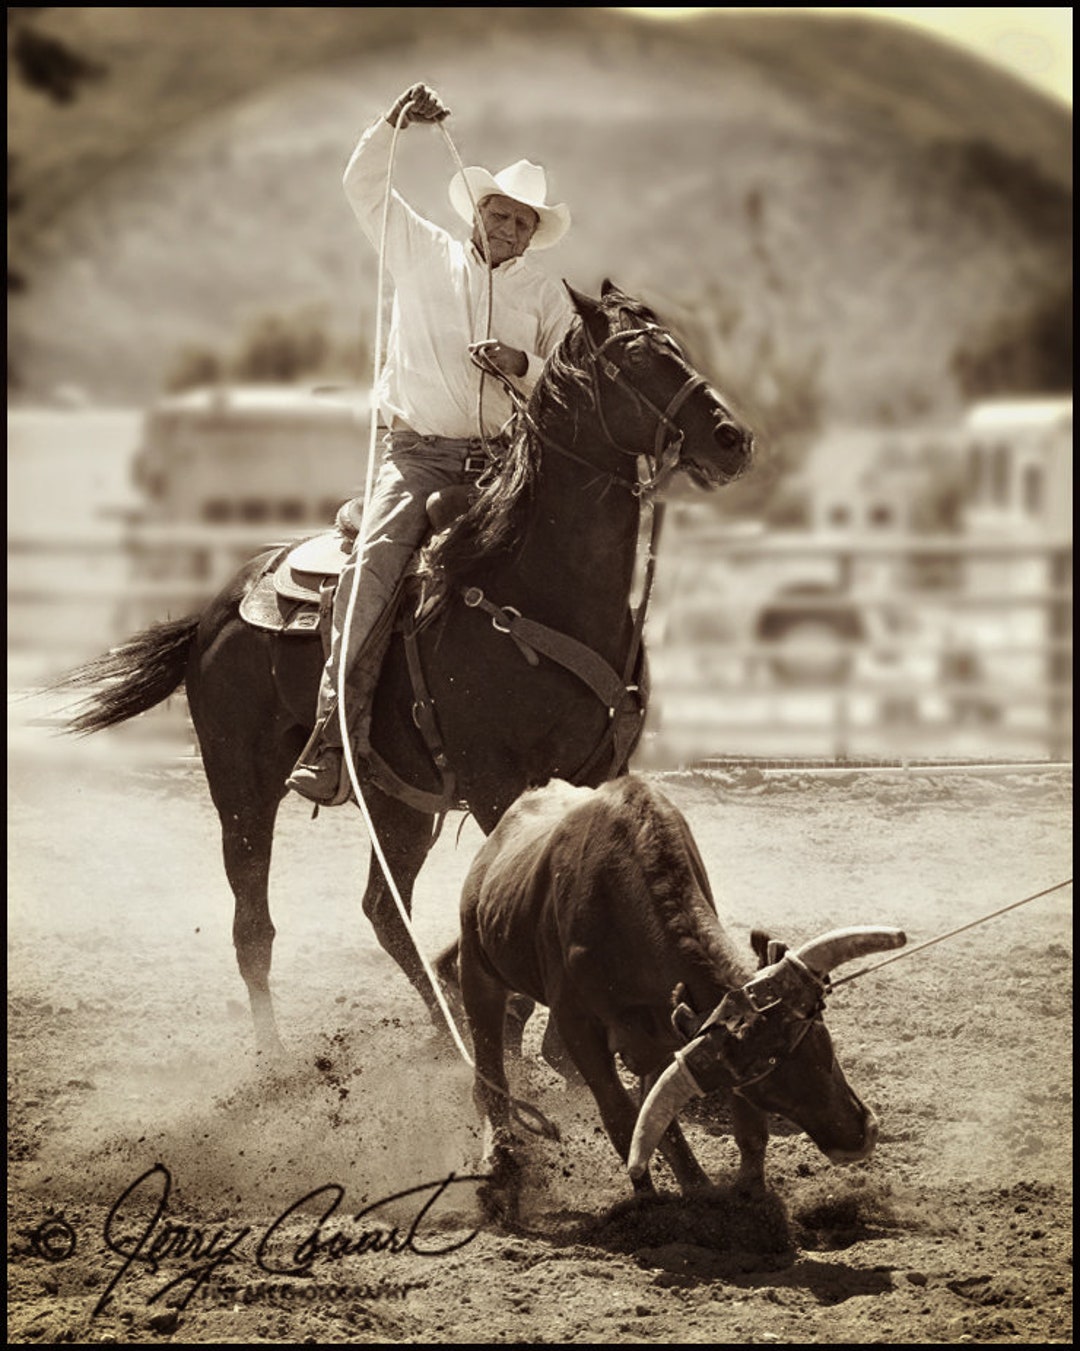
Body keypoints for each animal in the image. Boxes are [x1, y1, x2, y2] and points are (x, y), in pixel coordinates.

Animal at [52, 280, 754, 1058]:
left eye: (677, 347)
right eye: (633, 361)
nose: (732, 439)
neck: (541, 588)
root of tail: (221, 603)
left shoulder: (600, 765)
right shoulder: (492, 778)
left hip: (401, 803)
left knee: (383, 912)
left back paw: (451, 1037)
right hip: (241, 782)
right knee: (253, 926)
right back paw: (277, 1060)